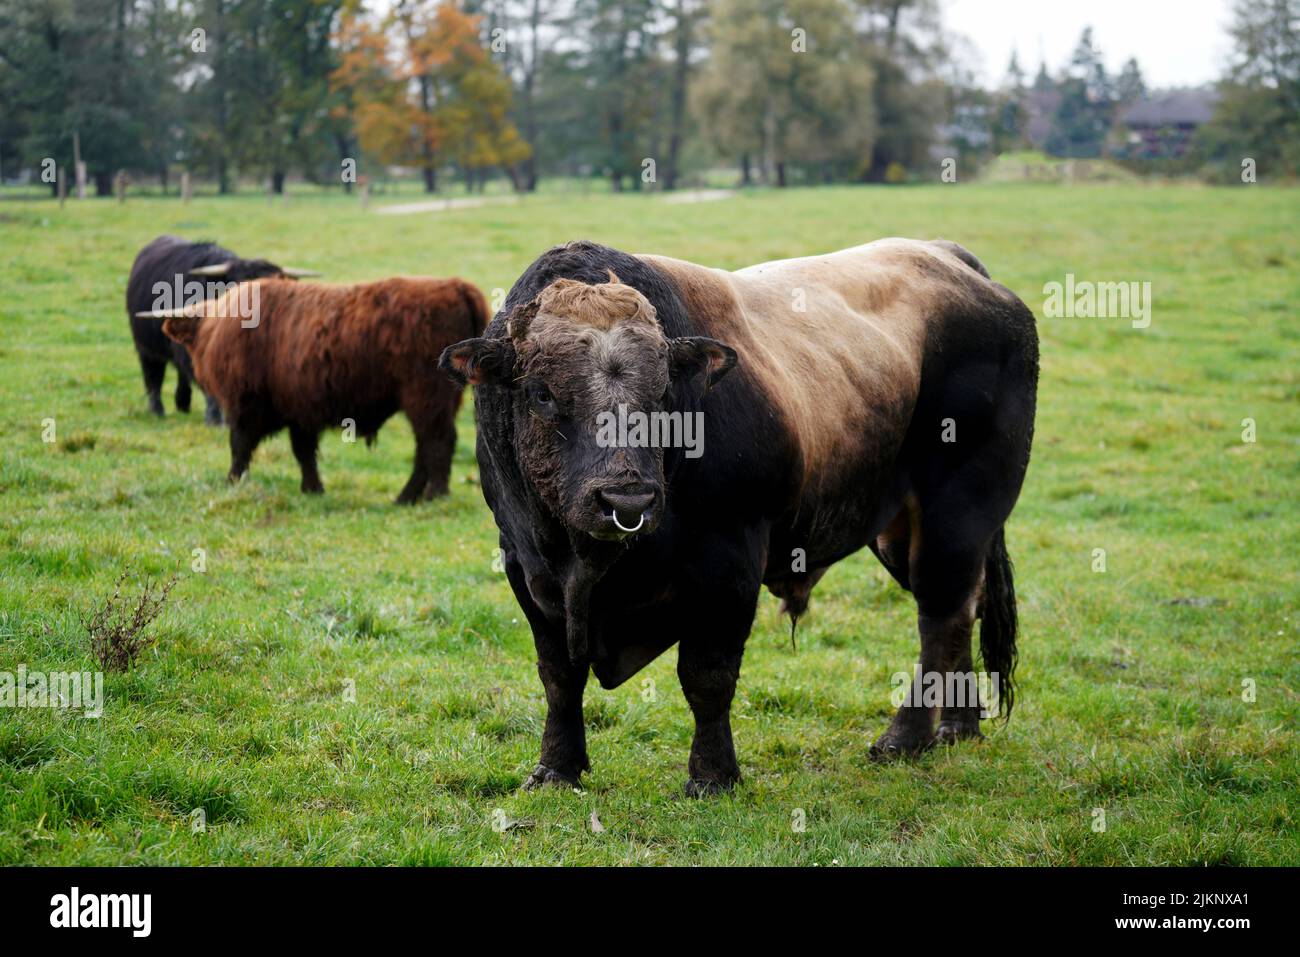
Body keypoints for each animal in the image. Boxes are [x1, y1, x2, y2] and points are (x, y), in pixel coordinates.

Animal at [142, 276, 489, 503]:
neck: (214, 327)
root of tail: (455, 285)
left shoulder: (245, 406)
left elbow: (240, 447)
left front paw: (232, 481)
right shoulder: (300, 411)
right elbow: (303, 452)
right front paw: (313, 488)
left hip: (426, 398)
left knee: (436, 442)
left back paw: (430, 495)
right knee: (428, 447)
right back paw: (410, 496)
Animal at [440, 239, 1038, 795]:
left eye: (662, 394)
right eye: (542, 394)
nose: (627, 502)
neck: (587, 563)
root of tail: (949, 258)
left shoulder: (728, 564)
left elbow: (707, 677)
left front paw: (712, 775)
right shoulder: (526, 565)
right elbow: (560, 675)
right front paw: (556, 769)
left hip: (956, 516)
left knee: (941, 619)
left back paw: (905, 738)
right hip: (904, 531)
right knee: (964, 608)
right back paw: (958, 727)